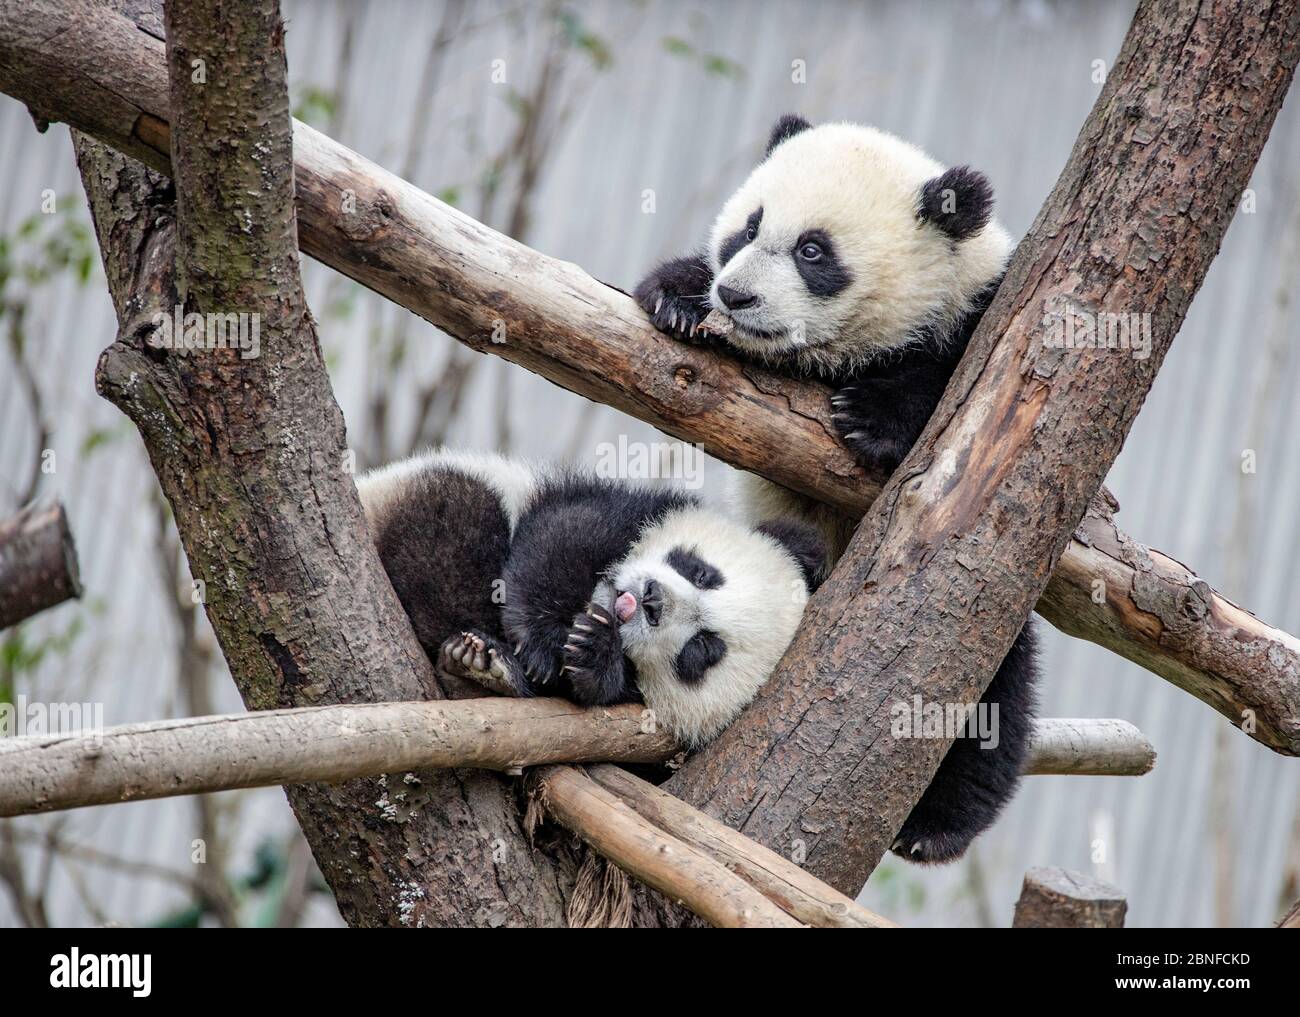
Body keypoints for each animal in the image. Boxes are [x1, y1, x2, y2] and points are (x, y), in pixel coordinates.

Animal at [356, 448, 825, 748]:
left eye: (702, 650)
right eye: (703, 574)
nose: (651, 601)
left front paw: (592, 652)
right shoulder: (622, 508)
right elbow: (564, 534)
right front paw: (544, 645)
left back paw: (482, 668)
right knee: (451, 513)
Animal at [633, 115, 1038, 863]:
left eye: (813, 251)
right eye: (749, 227)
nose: (736, 297)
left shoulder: (983, 311)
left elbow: (960, 382)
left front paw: (872, 417)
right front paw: (677, 295)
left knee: (996, 701)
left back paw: (936, 825)